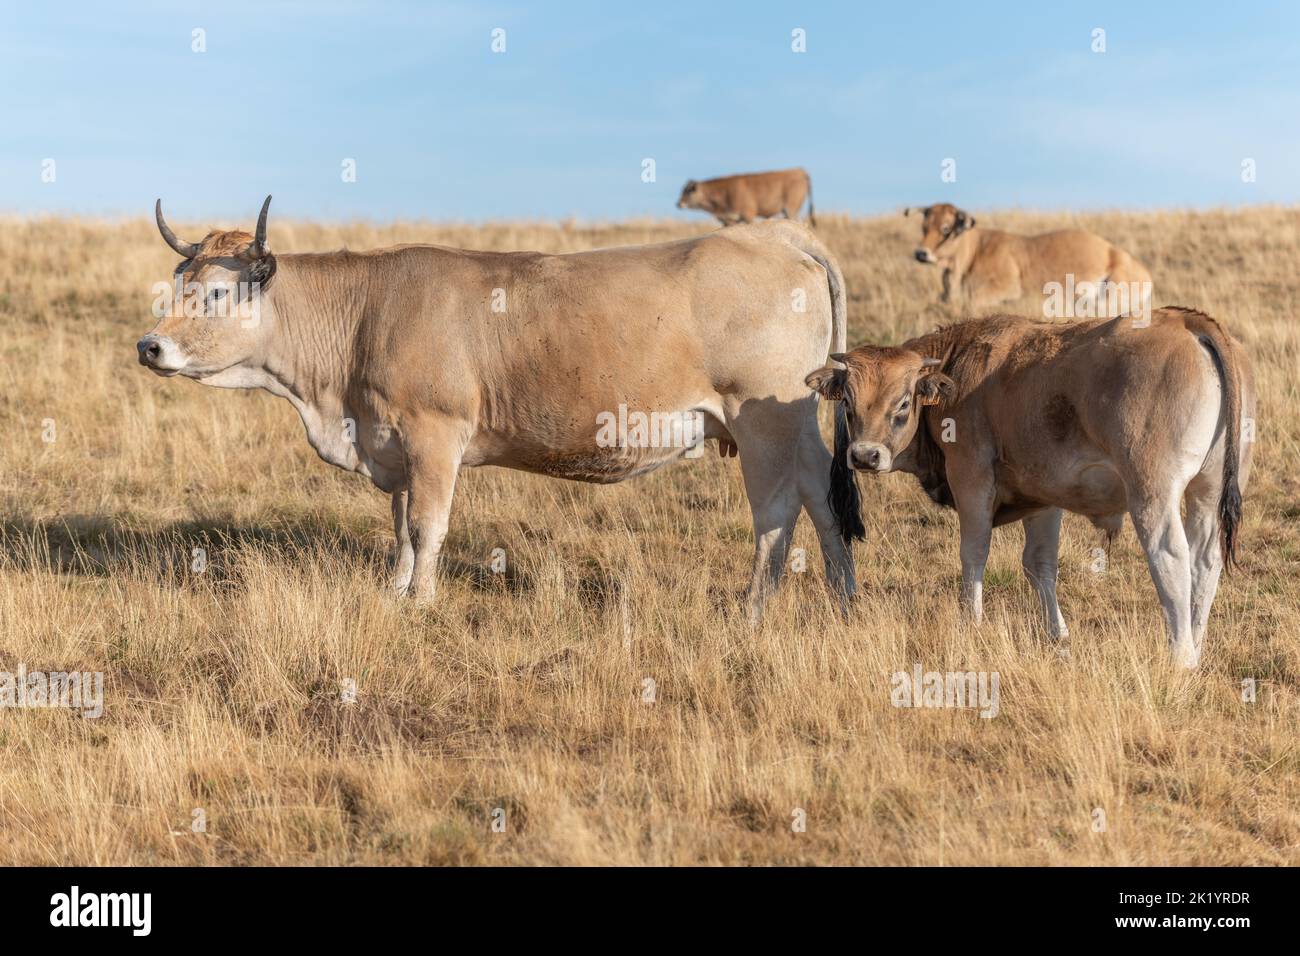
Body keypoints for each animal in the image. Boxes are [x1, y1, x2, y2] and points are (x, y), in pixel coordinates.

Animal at [138, 198, 862, 620]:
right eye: (180, 283)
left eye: (218, 294)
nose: (150, 346)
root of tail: (777, 238)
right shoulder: (396, 444)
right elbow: (400, 528)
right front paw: (395, 592)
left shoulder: (434, 435)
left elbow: (427, 526)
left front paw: (422, 602)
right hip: (797, 424)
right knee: (824, 499)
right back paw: (844, 598)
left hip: (763, 420)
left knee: (776, 513)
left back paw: (753, 607)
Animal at [678, 169, 816, 227]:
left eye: (689, 191)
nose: (678, 203)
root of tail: (800, 171)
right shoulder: (729, 220)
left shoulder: (749, 215)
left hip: (791, 209)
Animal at [805, 309, 1255, 668]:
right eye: (847, 403)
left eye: (902, 404)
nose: (864, 455)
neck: (961, 366)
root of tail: (1185, 321)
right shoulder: (1043, 499)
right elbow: (1040, 565)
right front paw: (1057, 634)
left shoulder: (971, 478)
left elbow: (974, 554)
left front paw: (971, 622)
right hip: (1206, 494)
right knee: (1204, 561)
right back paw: (1196, 645)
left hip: (1153, 495)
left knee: (1171, 560)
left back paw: (1180, 657)